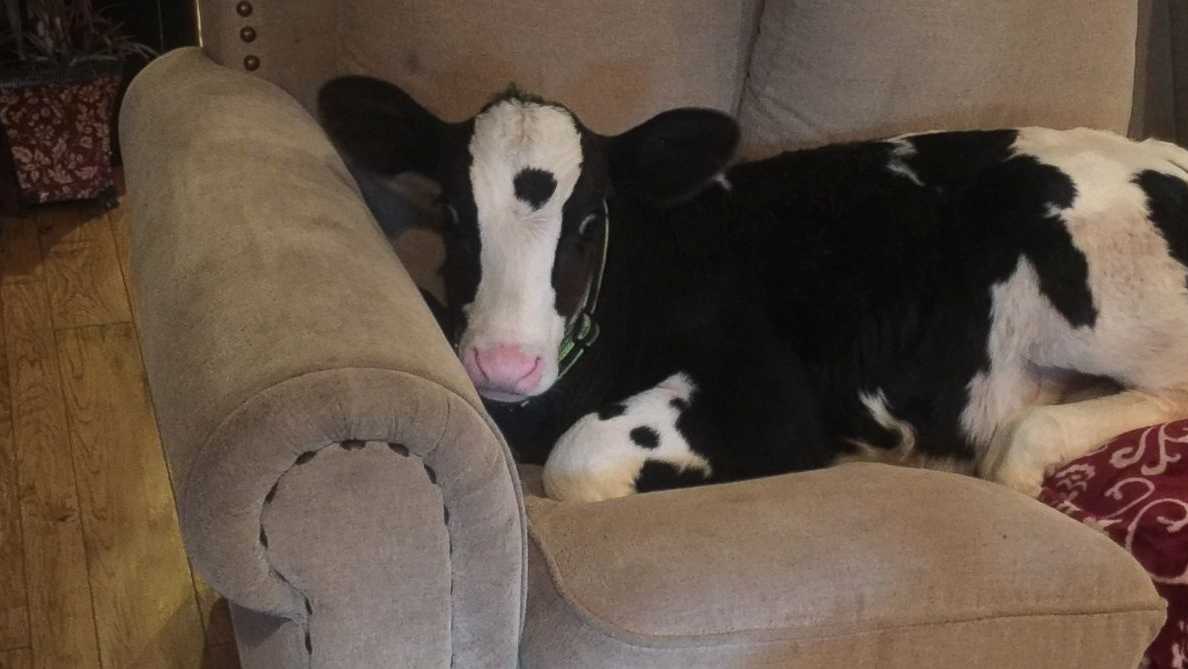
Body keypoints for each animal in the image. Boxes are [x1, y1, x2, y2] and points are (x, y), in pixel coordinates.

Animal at [318, 76, 1188, 503]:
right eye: (452, 214)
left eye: (591, 219)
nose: (503, 363)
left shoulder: (774, 395)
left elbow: (580, 460)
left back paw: (1018, 453)